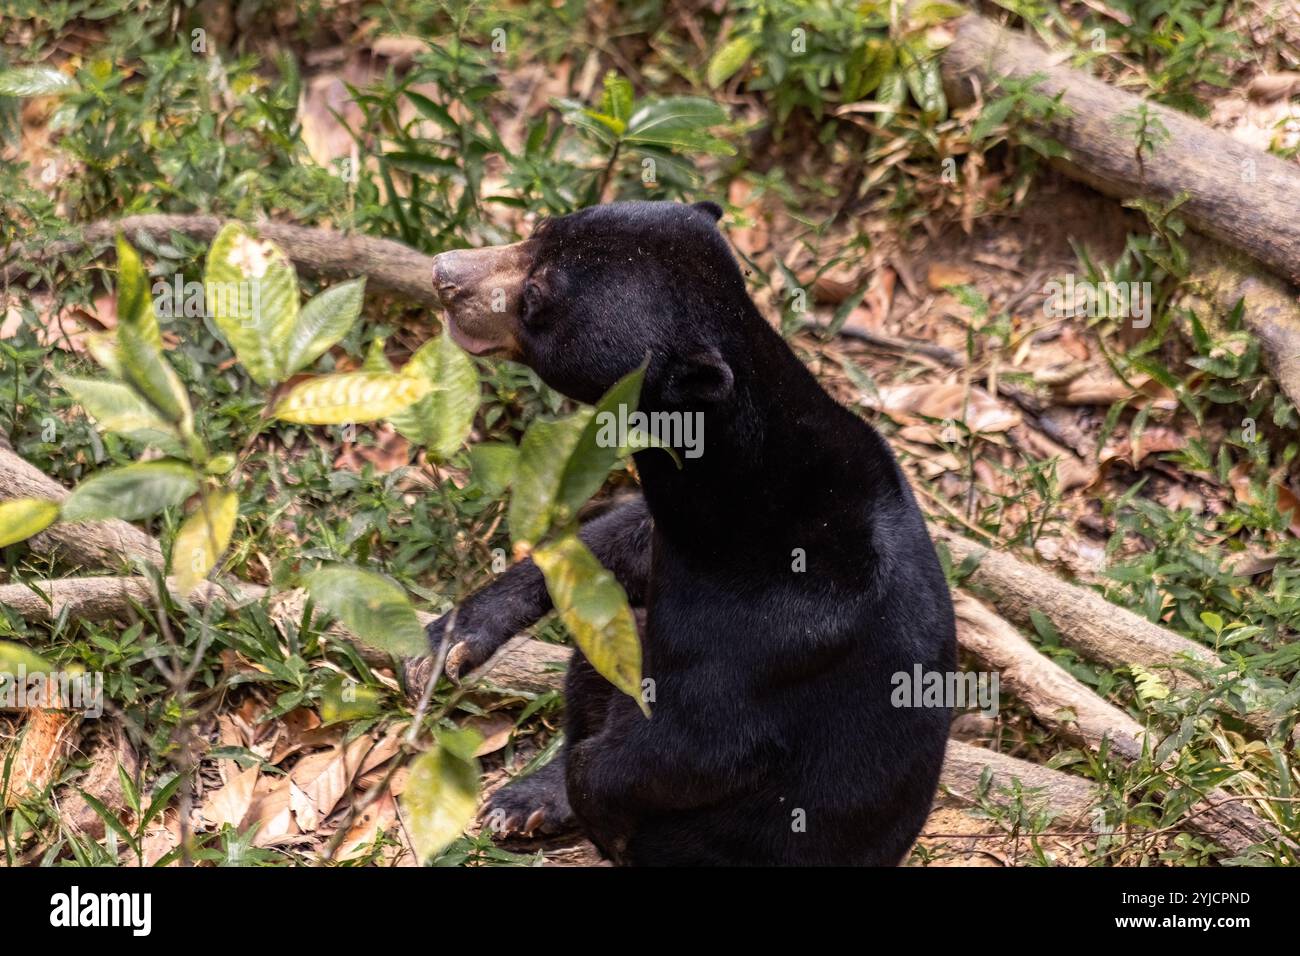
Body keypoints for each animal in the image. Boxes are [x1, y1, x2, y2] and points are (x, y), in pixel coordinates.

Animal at [424, 200, 956, 865]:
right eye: (540, 229)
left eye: (538, 295)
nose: (444, 273)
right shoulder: (678, 532)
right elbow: (609, 547)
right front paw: (453, 636)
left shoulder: (781, 626)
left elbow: (698, 743)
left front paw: (596, 803)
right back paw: (527, 800)